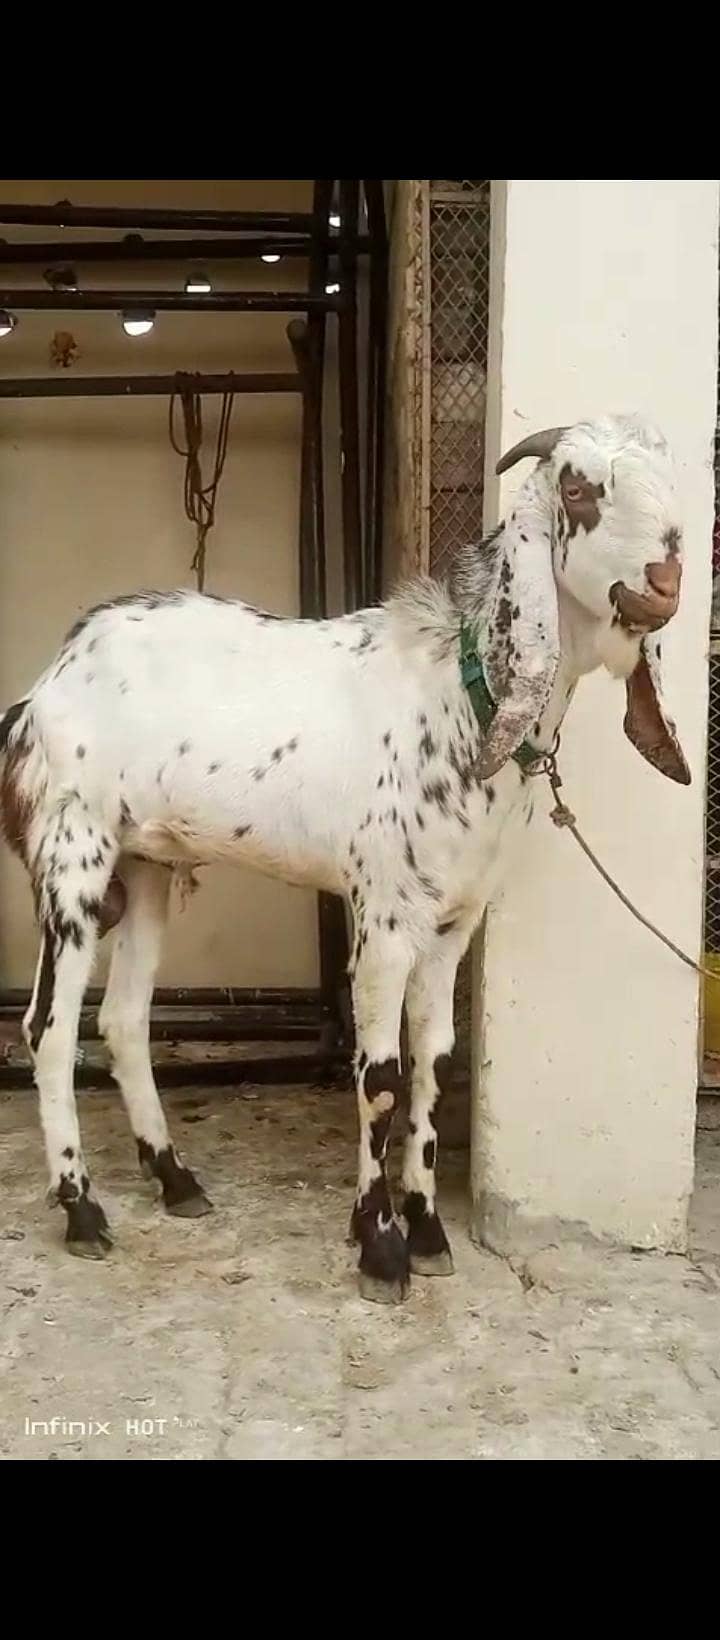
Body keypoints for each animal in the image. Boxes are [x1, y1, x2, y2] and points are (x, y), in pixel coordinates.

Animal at [0, 413, 688, 1303]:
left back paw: (176, 1179)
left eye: (674, 488)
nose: (662, 585)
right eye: (577, 489)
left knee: (122, 1018)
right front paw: (380, 1246)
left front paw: (427, 1230)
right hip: (74, 860)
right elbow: (381, 1075)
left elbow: (433, 1063)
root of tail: (45, 685)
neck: (459, 697)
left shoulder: (453, 922)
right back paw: (82, 1211)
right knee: (49, 1028)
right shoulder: (385, 915)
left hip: (146, 862)